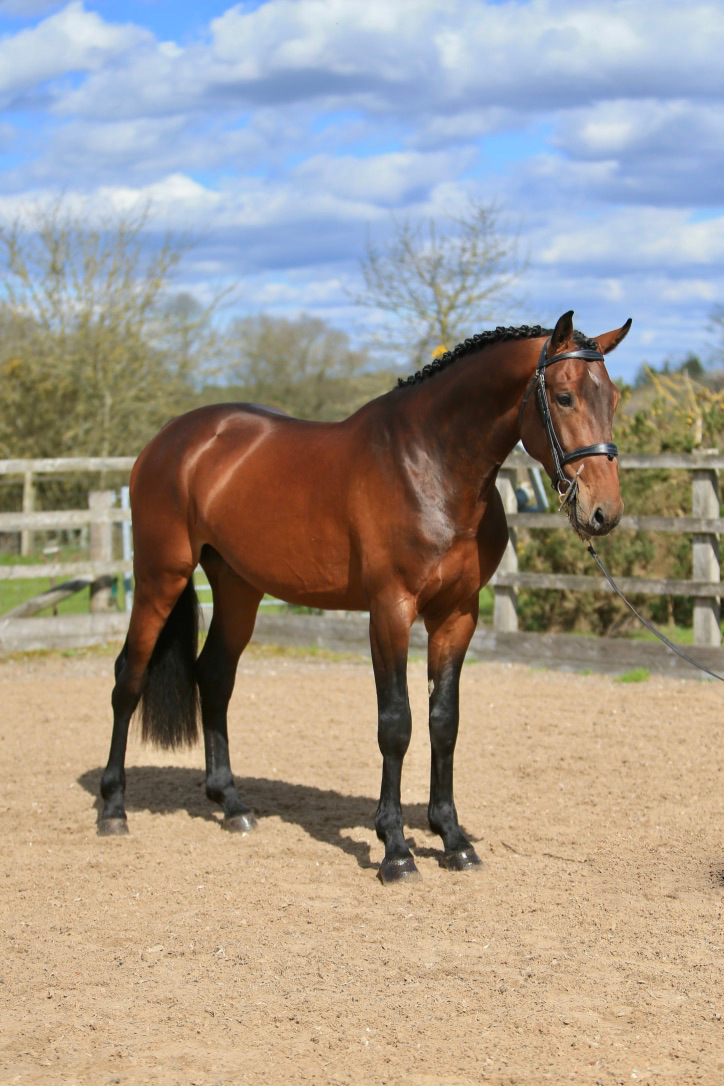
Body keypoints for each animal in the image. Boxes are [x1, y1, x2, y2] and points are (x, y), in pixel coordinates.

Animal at [99, 309, 631, 883]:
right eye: (564, 397)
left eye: (613, 398)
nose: (603, 511)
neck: (430, 466)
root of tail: (170, 440)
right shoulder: (390, 611)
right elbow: (396, 723)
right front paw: (395, 849)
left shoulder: (456, 615)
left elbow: (444, 721)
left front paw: (452, 838)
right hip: (161, 575)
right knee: (129, 676)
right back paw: (113, 809)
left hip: (239, 588)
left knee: (214, 676)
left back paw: (233, 805)